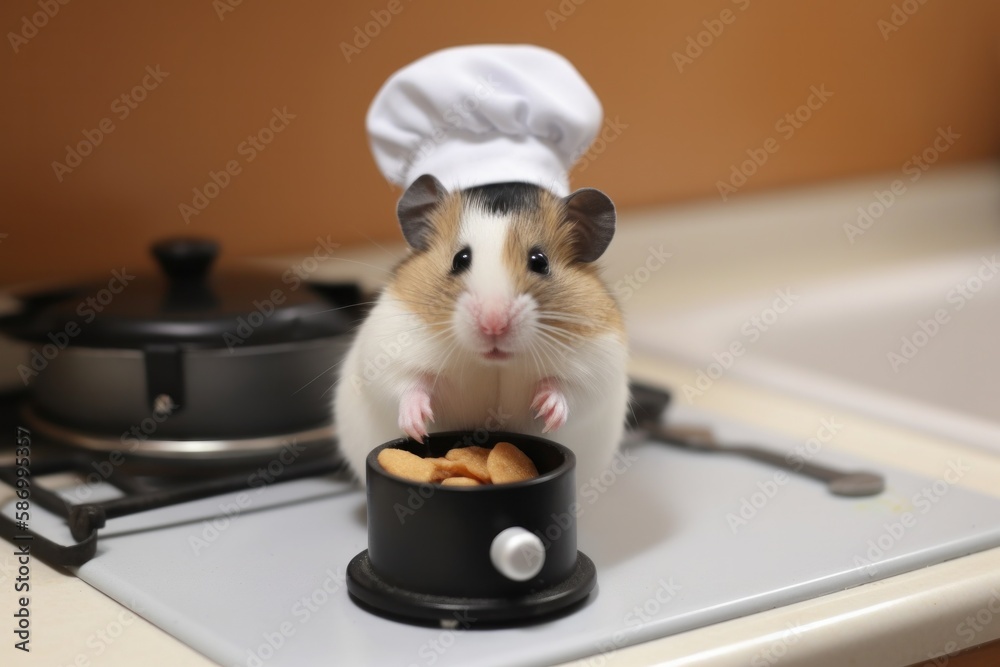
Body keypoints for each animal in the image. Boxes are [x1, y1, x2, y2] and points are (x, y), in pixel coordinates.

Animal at [334, 174, 629, 486]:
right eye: (460, 259)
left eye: (540, 261)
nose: (493, 324)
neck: (492, 363)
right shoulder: (391, 353)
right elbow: (409, 386)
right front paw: (418, 427)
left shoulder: (595, 368)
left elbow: (566, 388)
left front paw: (548, 411)